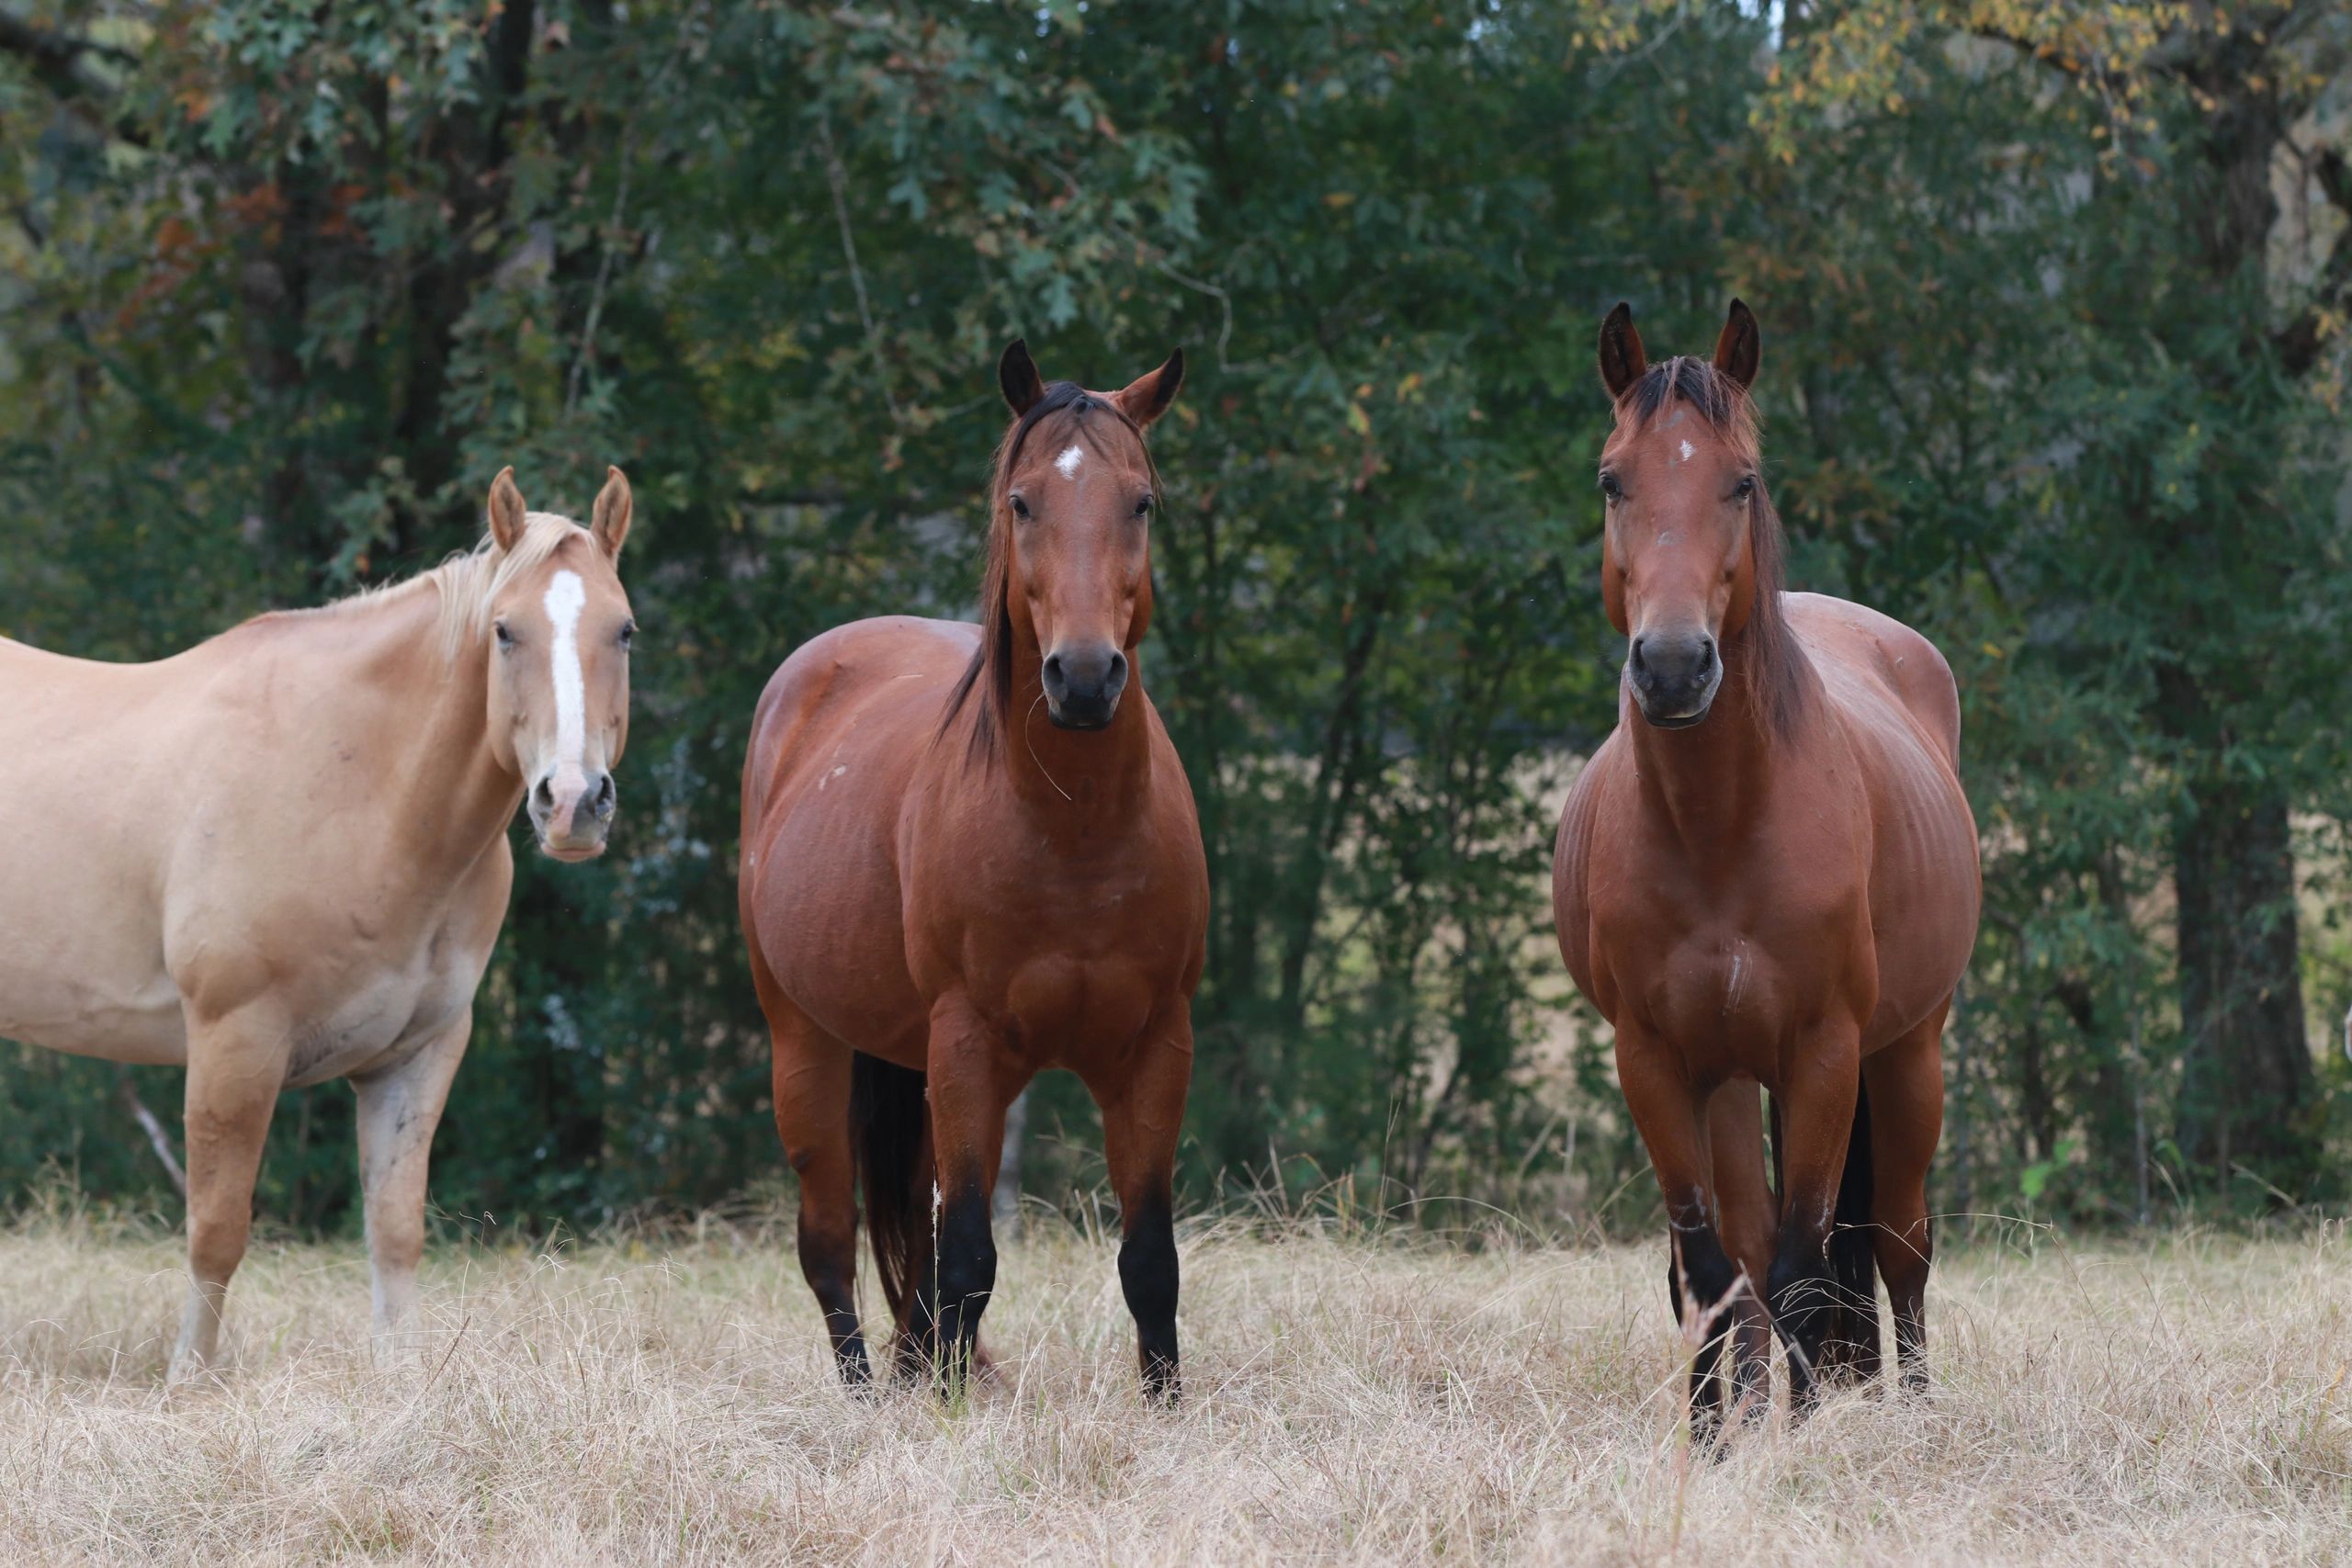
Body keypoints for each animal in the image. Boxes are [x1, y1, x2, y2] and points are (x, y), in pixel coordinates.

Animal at [0, 467, 636, 1381]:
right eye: (505, 631)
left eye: (624, 629)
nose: (575, 801)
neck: (358, 784)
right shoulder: (235, 1041)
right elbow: (217, 1231)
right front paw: (189, 1379)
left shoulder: (416, 1055)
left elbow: (396, 1232)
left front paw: (402, 1381)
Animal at [740, 341, 1207, 1401]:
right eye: (1023, 501)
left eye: (1140, 502)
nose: (1085, 677)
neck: (1075, 833)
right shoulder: (967, 1049)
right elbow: (967, 1255)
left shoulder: (1156, 1048)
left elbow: (1148, 1258)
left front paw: (1165, 1405)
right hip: (807, 1044)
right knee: (829, 1241)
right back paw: (867, 1392)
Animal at [1551, 301, 1980, 1429]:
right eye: (1612, 479)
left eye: (1739, 480)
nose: (1671, 666)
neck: (1722, 828)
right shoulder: (1658, 1063)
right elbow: (1711, 1269)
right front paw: (1715, 1444)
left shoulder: (1824, 1054)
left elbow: (1805, 1272)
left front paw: (1808, 1436)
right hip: (1732, 1077)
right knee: (1745, 1254)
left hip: (1907, 1052)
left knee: (1899, 1243)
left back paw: (1912, 1412)